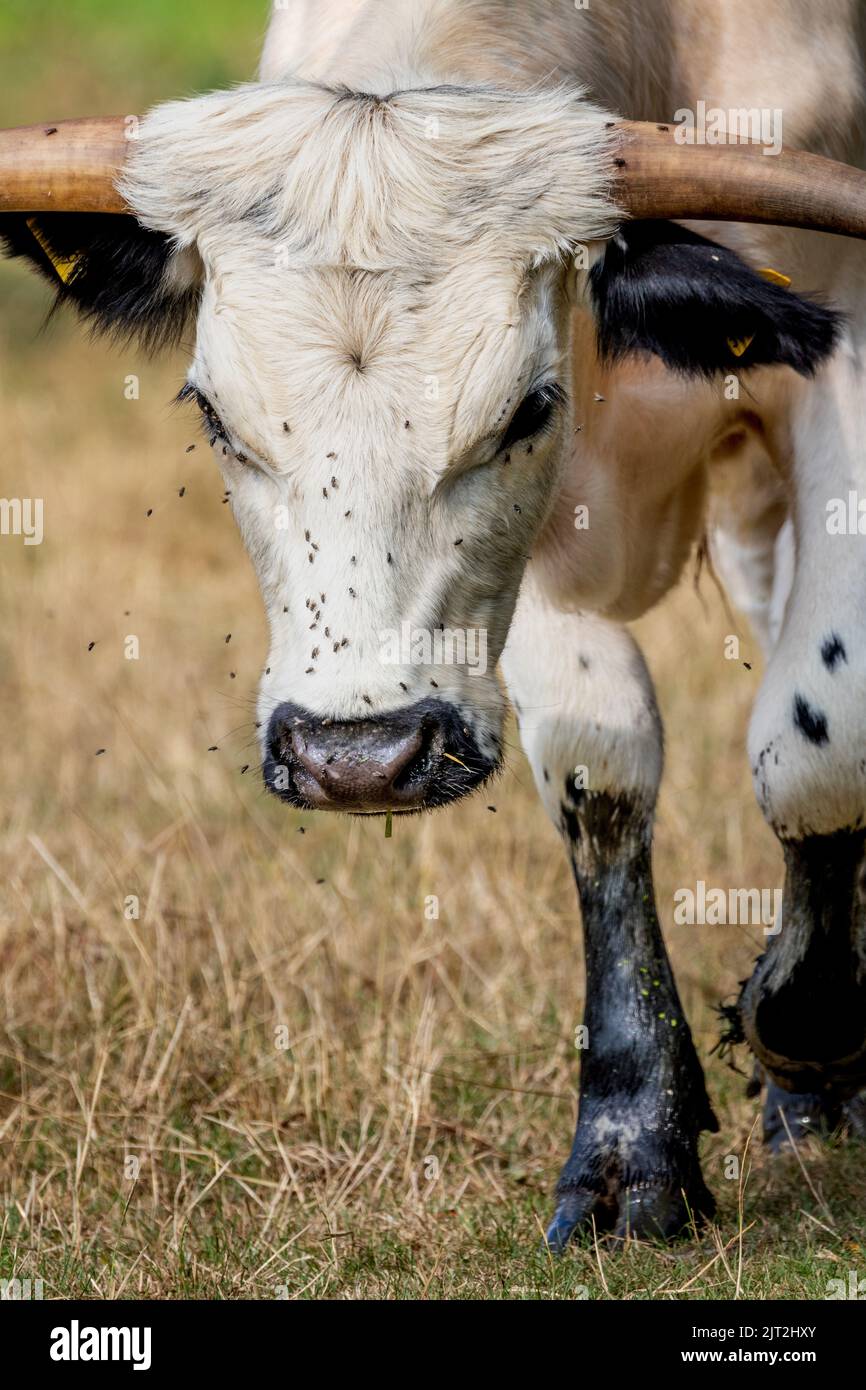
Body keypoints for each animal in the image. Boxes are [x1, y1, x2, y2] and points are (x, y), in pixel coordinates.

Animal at [3, 0, 866, 1248]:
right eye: (212, 413)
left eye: (524, 410)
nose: (356, 758)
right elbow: (601, 767)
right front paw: (629, 1144)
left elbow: (818, 739)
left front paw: (807, 1034)